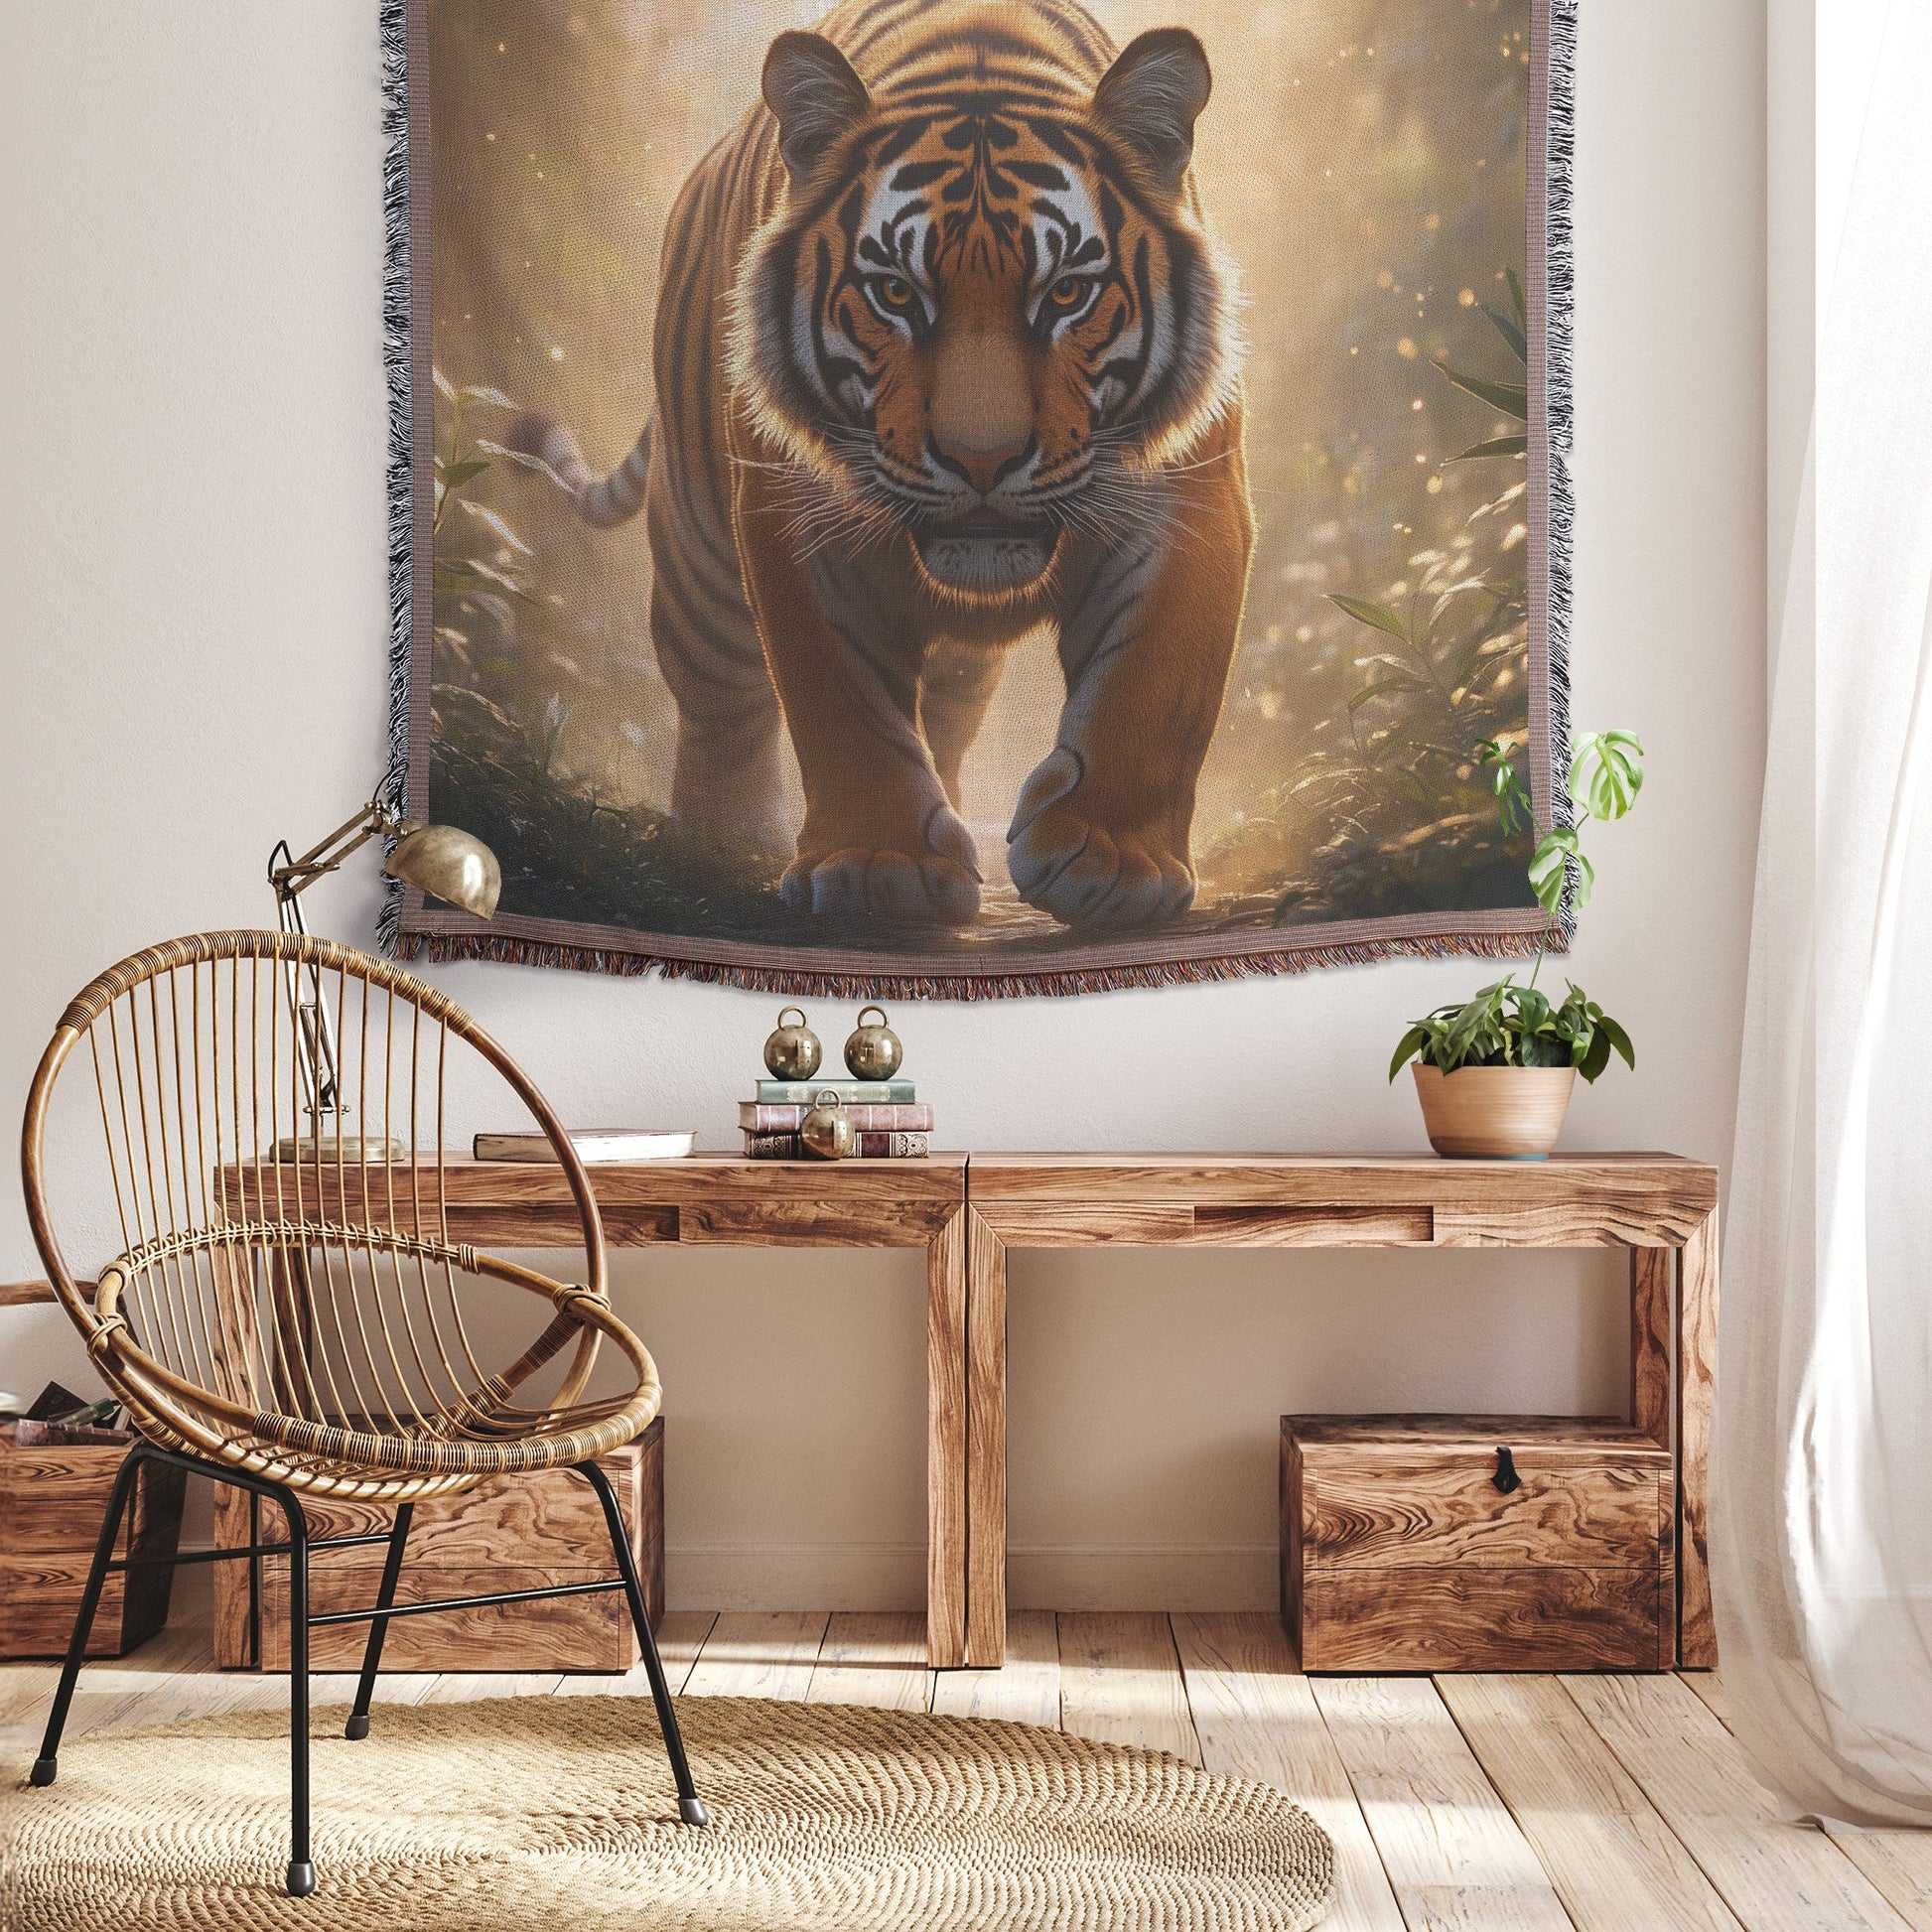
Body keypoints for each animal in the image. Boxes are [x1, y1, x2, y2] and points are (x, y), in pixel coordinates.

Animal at [511, 0, 1254, 931]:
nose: (982, 458)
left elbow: (1149, 685)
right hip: (699, 570)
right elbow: (841, 703)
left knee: (948, 708)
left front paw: (1114, 864)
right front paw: (878, 868)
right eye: (897, 294)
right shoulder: (797, 519)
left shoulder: (1188, 500)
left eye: (1066, 294)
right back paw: (724, 849)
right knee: (719, 708)